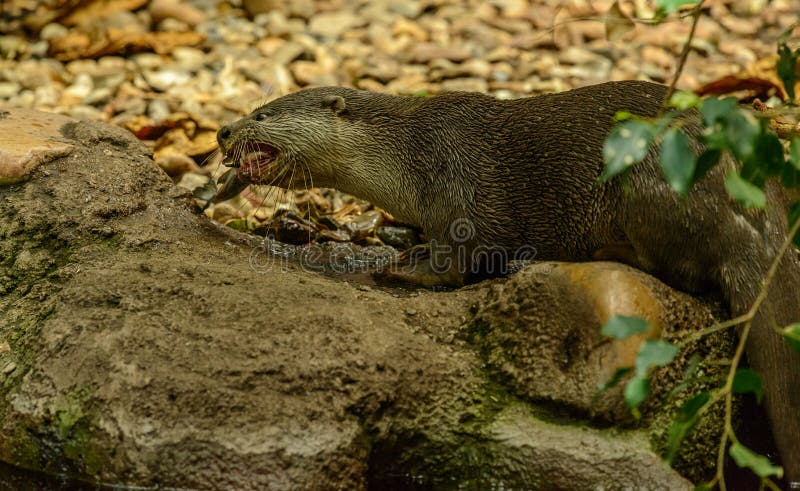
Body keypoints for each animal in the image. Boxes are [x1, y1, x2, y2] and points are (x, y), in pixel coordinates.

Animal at [216, 80, 800, 481]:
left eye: (264, 113)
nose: (223, 130)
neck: (405, 152)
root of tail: (753, 196)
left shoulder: (457, 183)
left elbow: (460, 260)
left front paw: (404, 266)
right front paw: (410, 247)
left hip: (650, 181)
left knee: (684, 272)